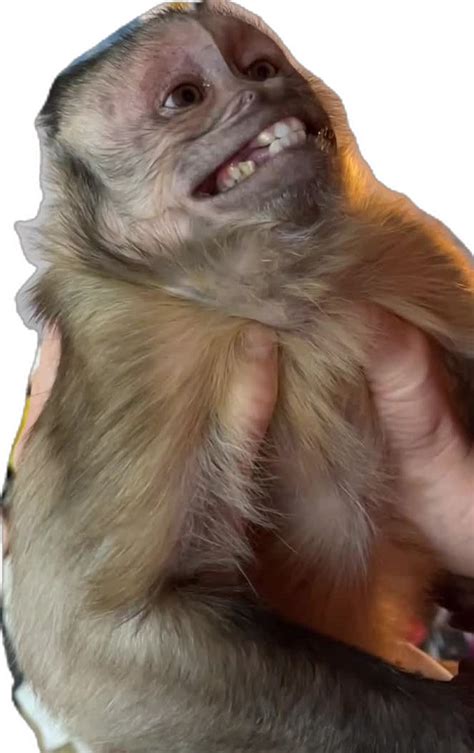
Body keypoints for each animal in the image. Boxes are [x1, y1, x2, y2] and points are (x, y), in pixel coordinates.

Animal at [3, 1, 474, 751]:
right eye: (185, 97)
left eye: (259, 66)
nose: (268, 89)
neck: (274, 292)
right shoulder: (129, 345)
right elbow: (98, 639)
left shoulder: (409, 248)